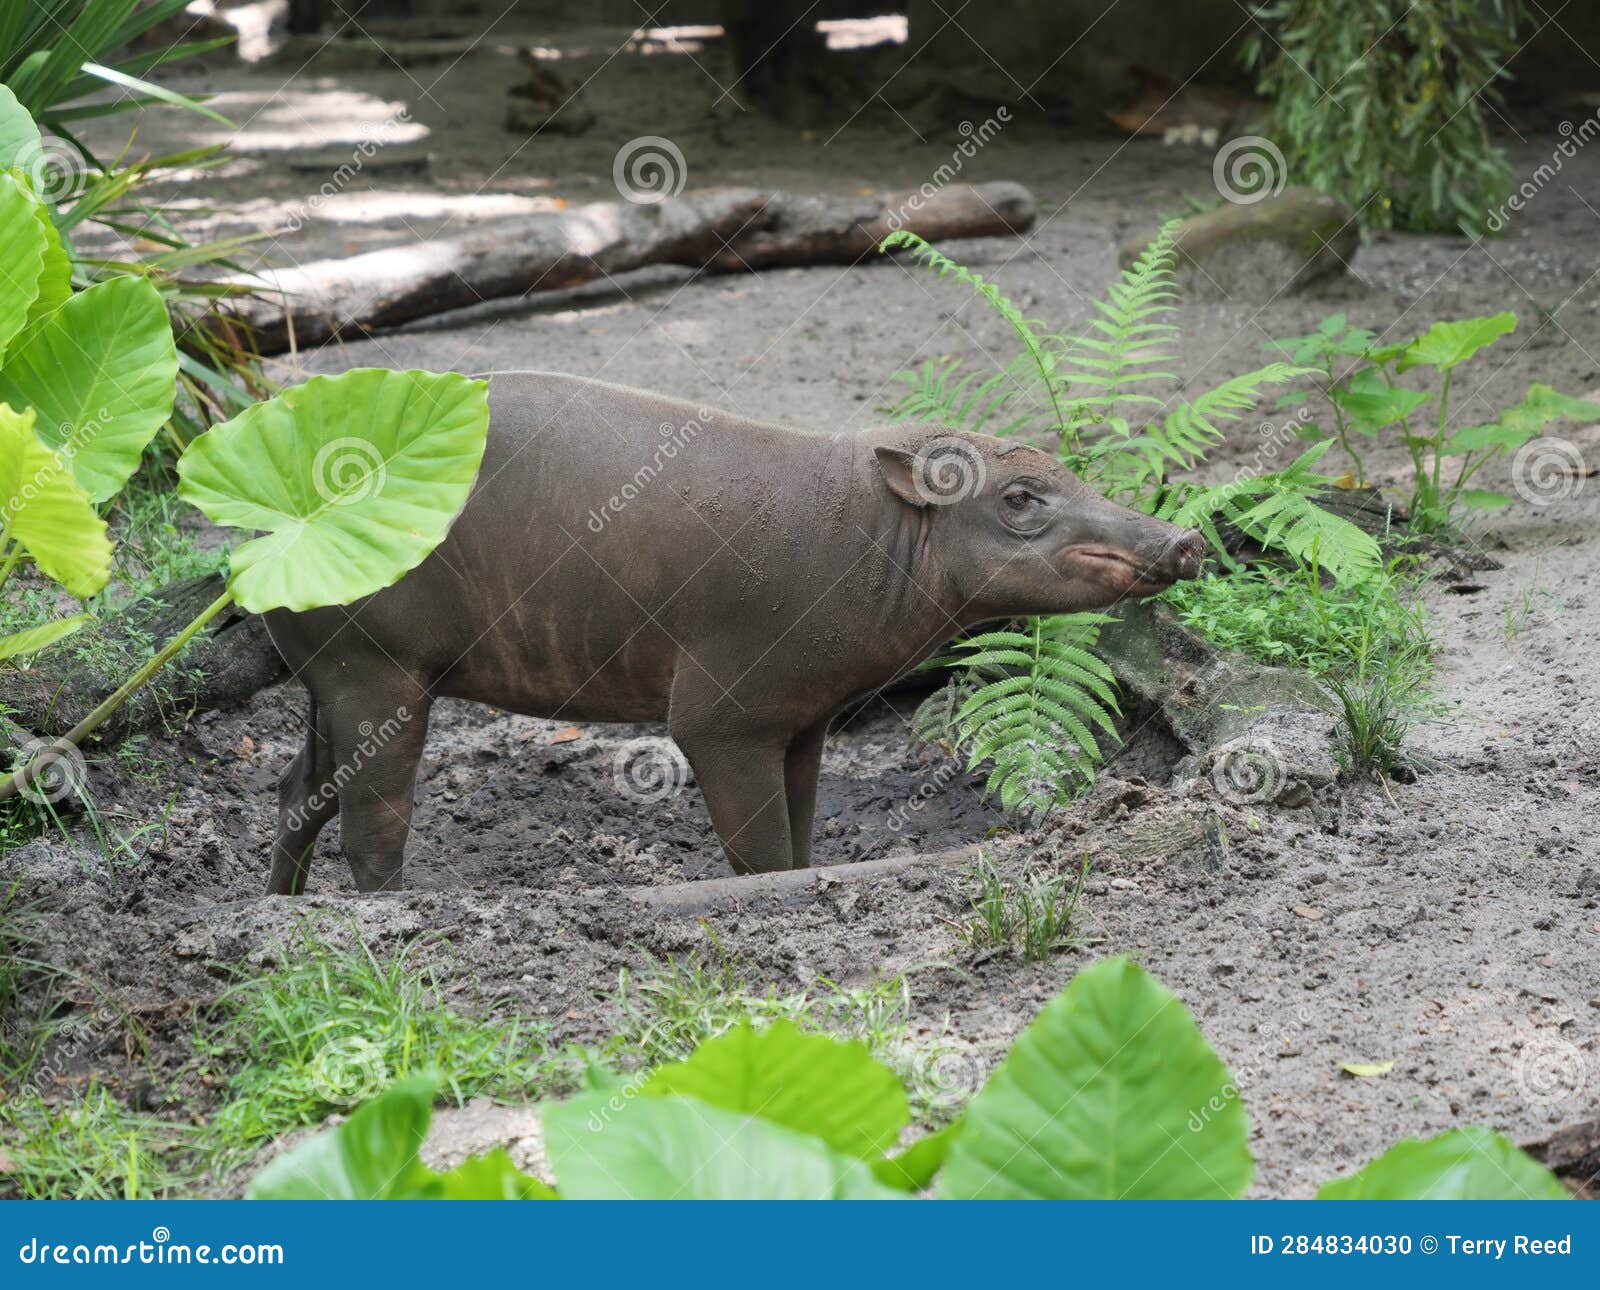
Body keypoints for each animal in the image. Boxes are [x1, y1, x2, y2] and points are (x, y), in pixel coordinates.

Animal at [264, 372, 1204, 893]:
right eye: (1019, 498)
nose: (1184, 541)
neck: (878, 535)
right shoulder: (724, 717)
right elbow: (760, 855)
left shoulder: (803, 719)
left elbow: (800, 841)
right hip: (377, 668)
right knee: (372, 824)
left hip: (332, 674)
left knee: (297, 795)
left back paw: (278, 909)